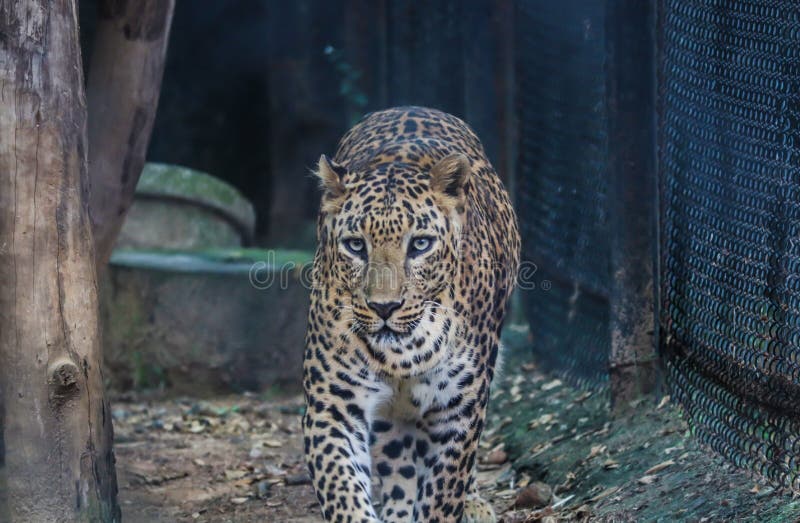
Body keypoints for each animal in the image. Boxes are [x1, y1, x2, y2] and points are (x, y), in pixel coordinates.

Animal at [302, 106, 520, 523]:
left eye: (420, 244)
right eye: (356, 246)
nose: (384, 307)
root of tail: (410, 107)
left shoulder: (459, 408)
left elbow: (444, 491)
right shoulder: (332, 405)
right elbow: (343, 491)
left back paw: (475, 504)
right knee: (396, 462)